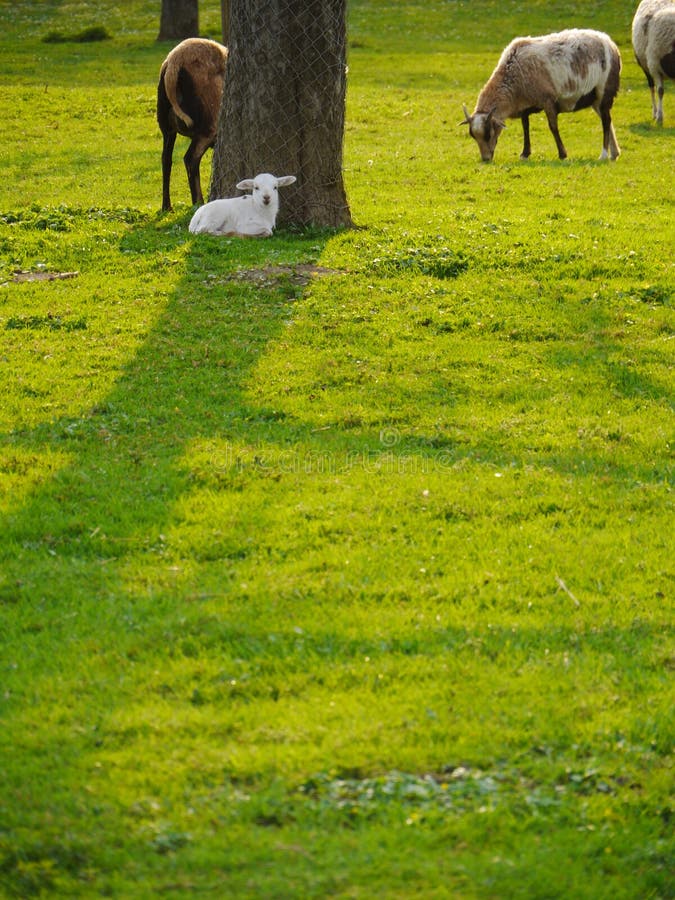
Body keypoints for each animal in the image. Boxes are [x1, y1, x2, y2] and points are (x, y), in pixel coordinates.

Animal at [157, 38, 228, 211]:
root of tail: (173, 64)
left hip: (166, 126)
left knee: (166, 159)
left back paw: (166, 207)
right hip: (208, 125)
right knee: (190, 159)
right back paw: (199, 203)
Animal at [461, 29, 621, 162]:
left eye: (488, 134)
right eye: (473, 136)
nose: (486, 159)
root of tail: (611, 44)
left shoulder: (548, 100)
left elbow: (553, 127)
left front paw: (562, 154)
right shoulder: (525, 105)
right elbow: (525, 127)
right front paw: (525, 154)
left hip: (604, 89)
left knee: (606, 121)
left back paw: (603, 155)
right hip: (595, 99)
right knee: (608, 120)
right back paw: (614, 154)